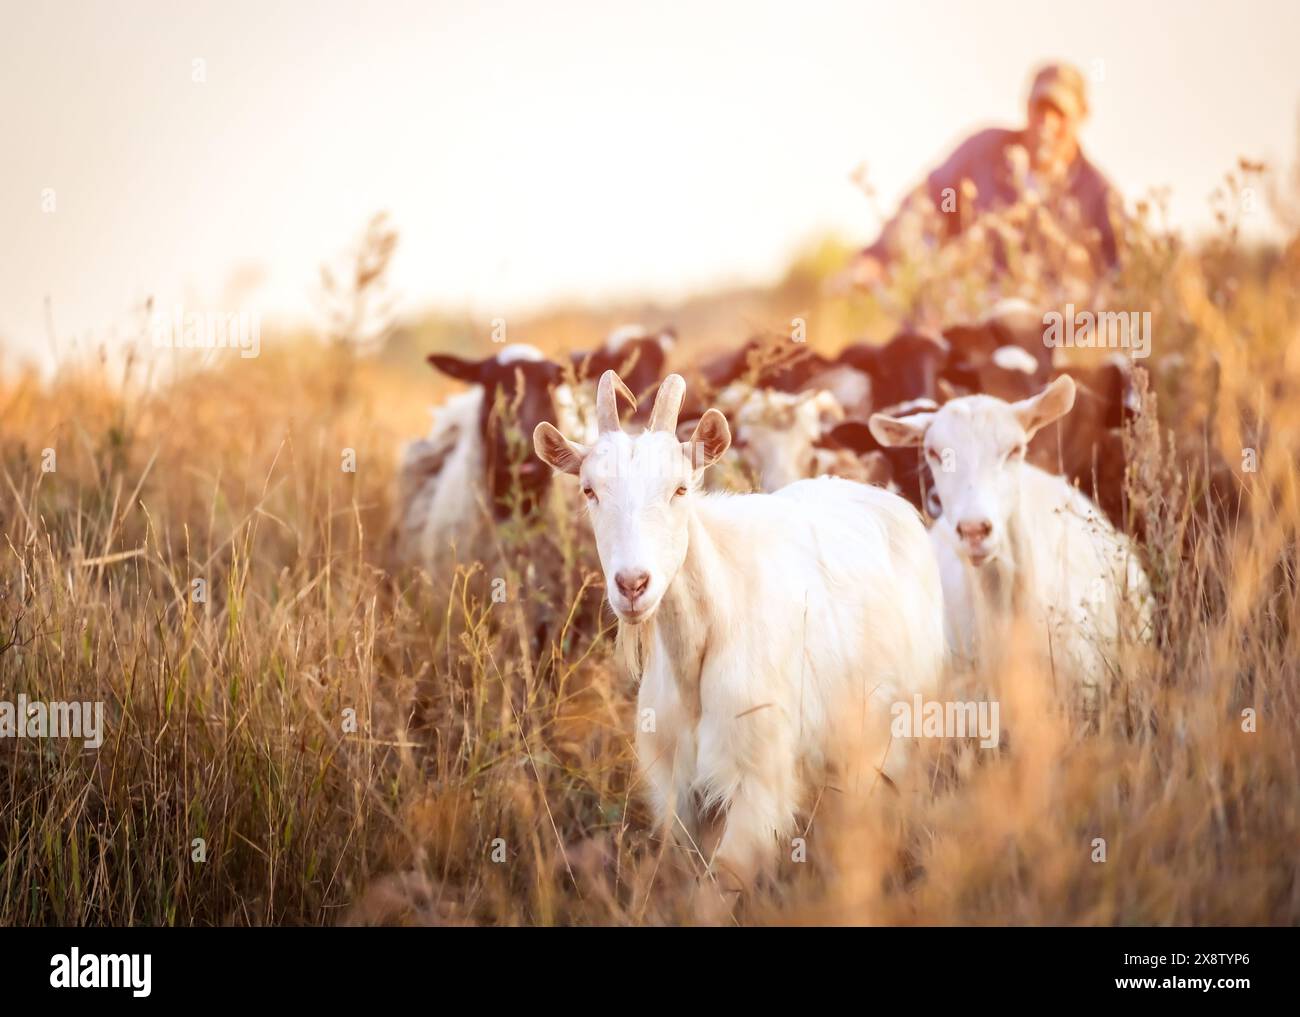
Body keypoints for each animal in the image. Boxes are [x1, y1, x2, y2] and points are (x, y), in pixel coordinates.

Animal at [533, 371, 946, 897]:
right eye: (589, 490)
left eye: (680, 489)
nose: (632, 584)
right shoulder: (677, 794)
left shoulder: (759, 783)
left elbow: (721, 882)